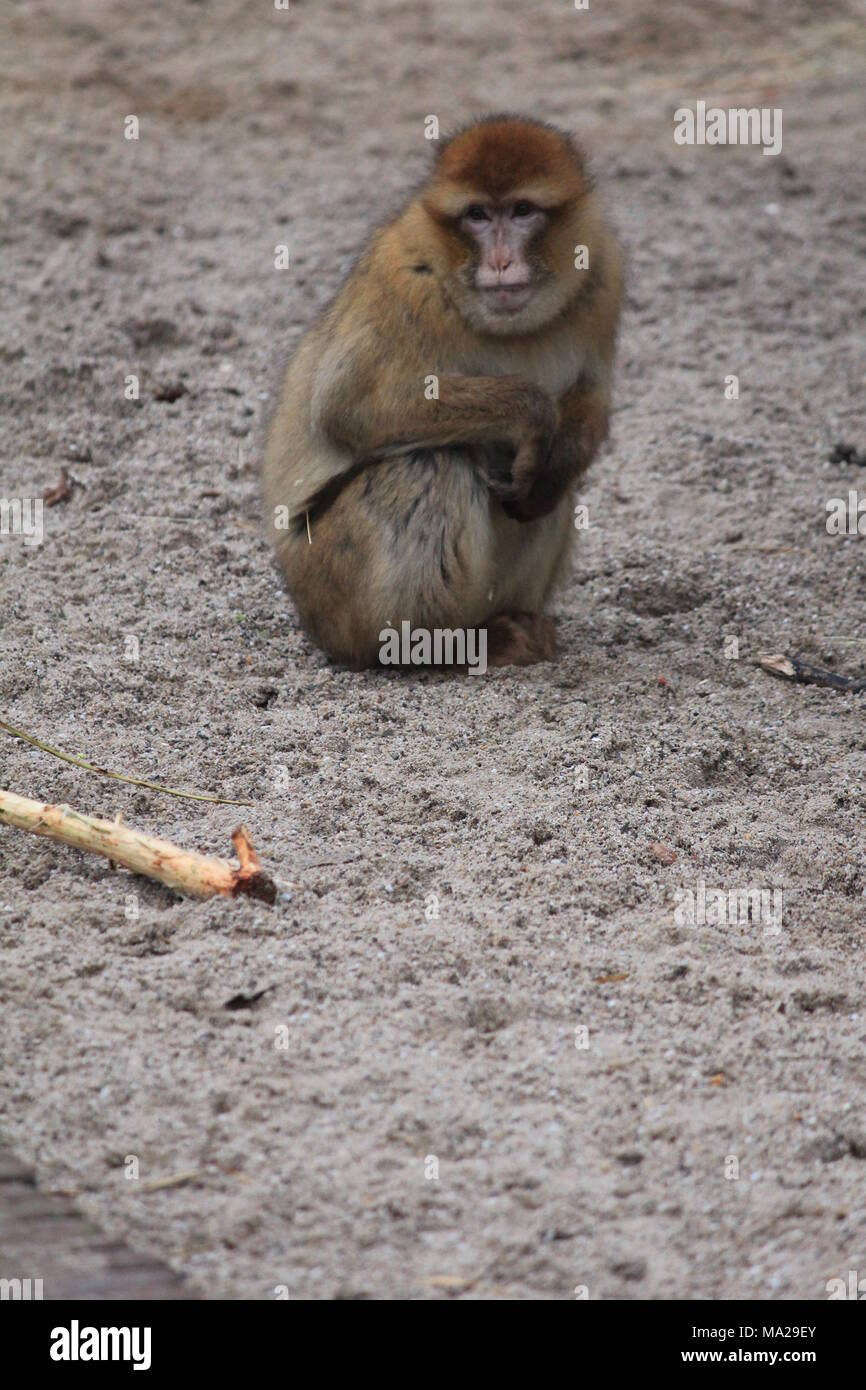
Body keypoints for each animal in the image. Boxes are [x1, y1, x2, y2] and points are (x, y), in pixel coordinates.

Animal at [262, 114, 623, 669]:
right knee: (429, 464)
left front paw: (563, 454)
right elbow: (349, 408)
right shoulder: (404, 284)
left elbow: (592, 395)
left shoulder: (603, 275)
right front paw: (531, 412)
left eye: (522, 210)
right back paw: (441, 646)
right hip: (326, 586)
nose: (501, 261)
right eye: (477, 215)